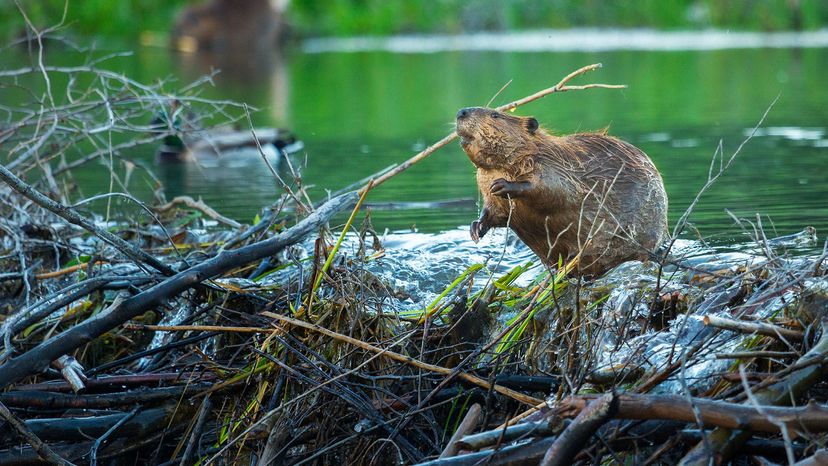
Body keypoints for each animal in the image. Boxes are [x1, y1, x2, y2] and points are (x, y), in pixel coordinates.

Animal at [456, 107, 668, 274]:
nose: (461, 112)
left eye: (495, 115)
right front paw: (476, 228)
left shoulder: (553, 165)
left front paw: (503, 185)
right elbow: (495, 211)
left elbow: (555, 191)